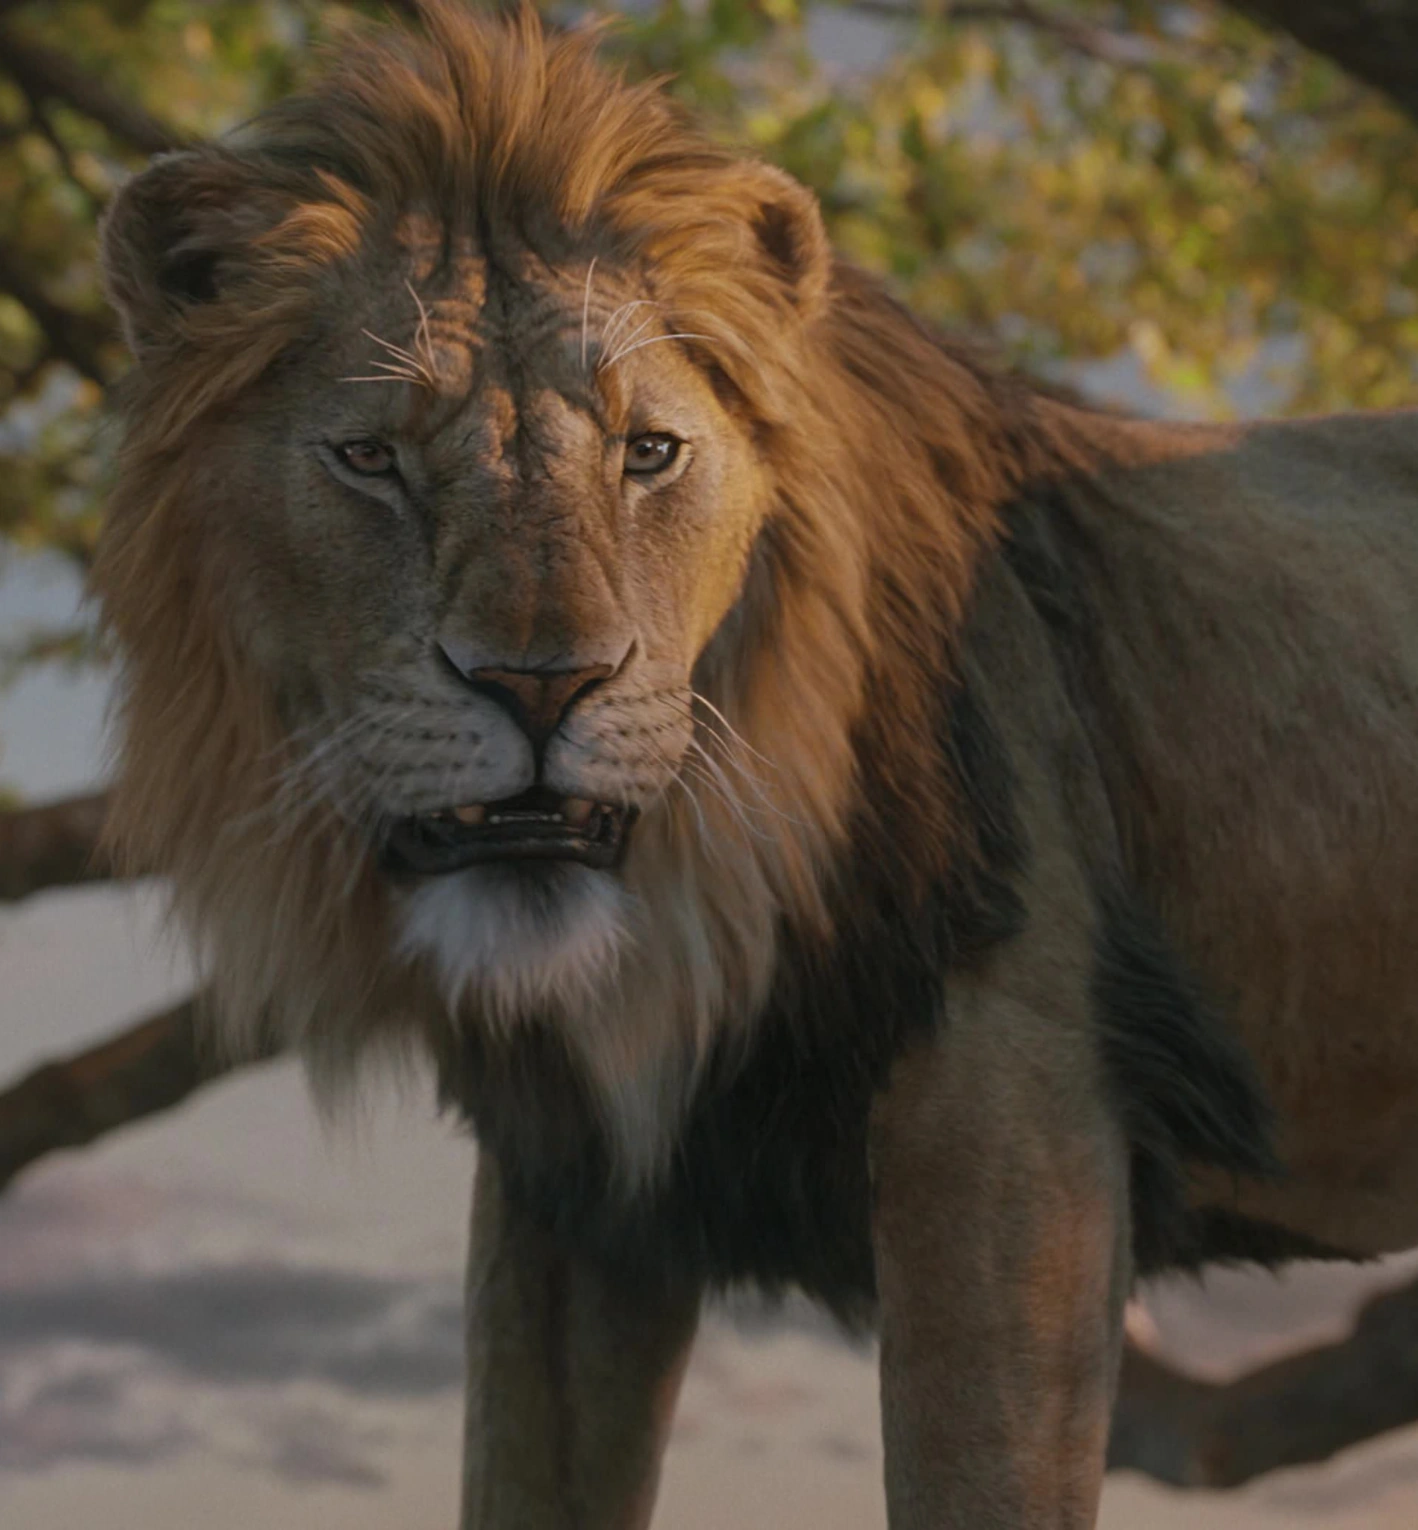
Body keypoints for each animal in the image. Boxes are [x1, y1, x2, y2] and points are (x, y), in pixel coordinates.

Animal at [92, 2, 1418, 1525]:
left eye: (648, 452)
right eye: (370, 458)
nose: (542, 684)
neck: (681, 921)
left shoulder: (1016, 1131)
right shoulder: (574, 1197)